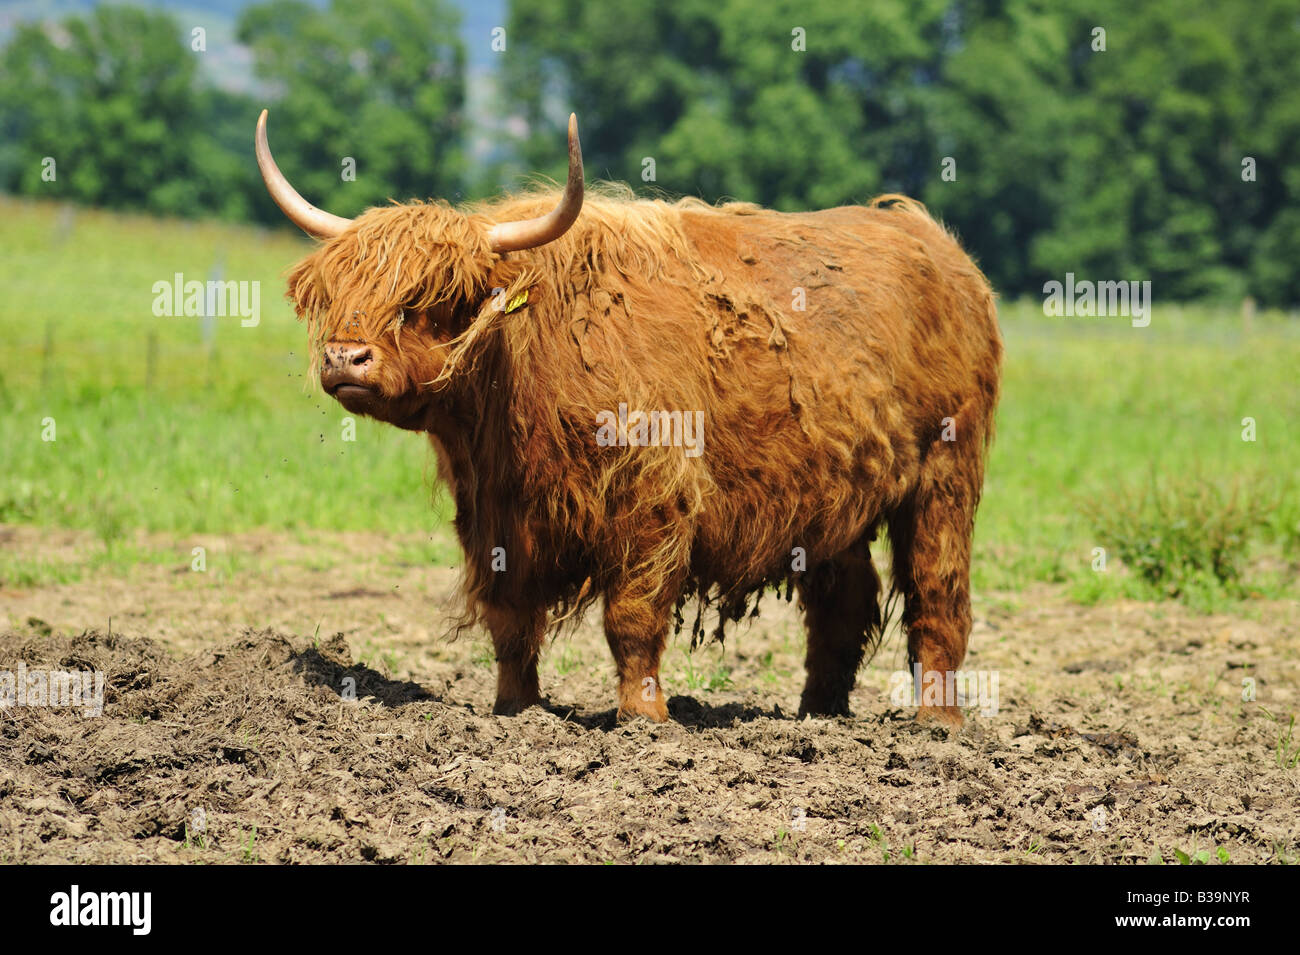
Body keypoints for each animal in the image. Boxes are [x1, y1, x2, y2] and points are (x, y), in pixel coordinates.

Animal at [255, 109, 1002, 726]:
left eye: (431, 299)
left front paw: (643, 719)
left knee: (938, 591)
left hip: (945, 473)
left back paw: (937, 723)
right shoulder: (494, 518)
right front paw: (513, 712)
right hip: (829, 487)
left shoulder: (653, 497)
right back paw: (818, 714)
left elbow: (633, 618)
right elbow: (510, 622)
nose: (345, 357)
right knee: (844, 601)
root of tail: (927, 237)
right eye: (339, 292)